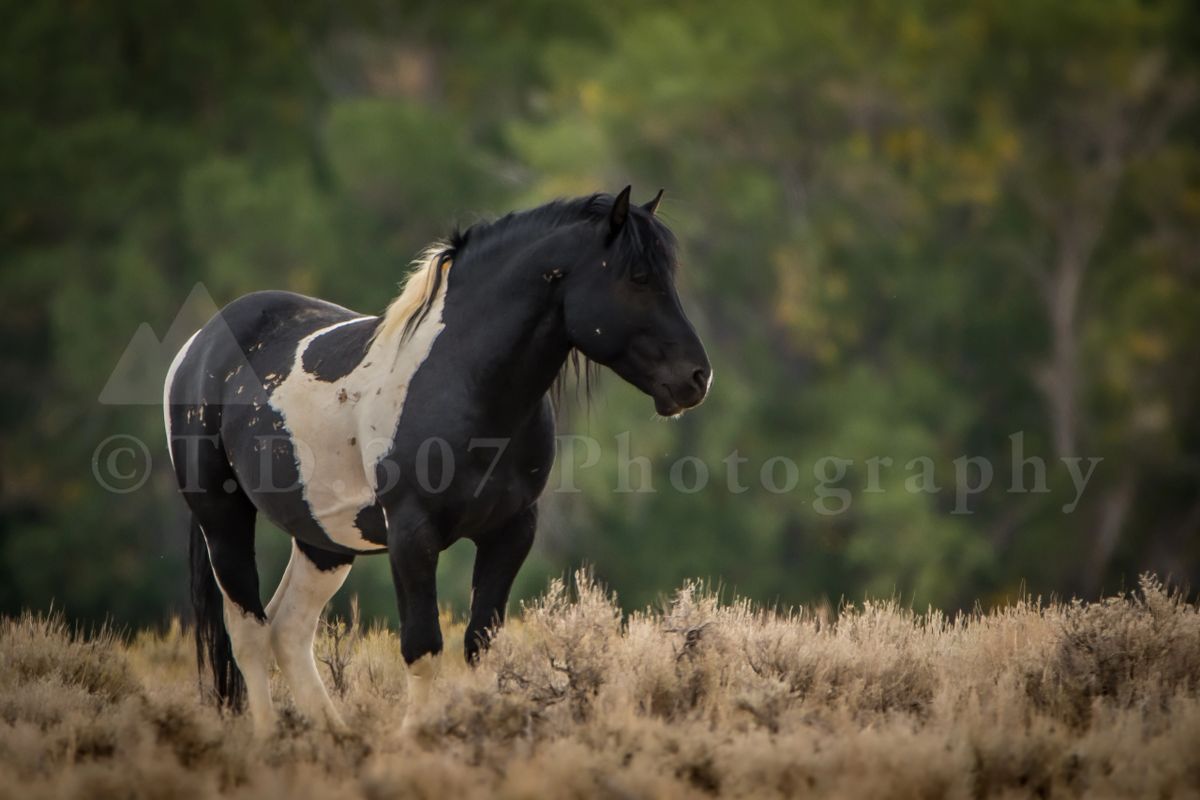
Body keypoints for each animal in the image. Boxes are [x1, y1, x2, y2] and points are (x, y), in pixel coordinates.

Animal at [162, 187, 711, 735]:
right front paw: (418, 738)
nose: (696, 378)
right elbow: (422, 647)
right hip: (223, 521)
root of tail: (201, 344)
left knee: (288, 631)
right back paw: (269, 736)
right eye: (638, 278)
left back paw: (337, 738)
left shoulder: (511, 531)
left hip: (323, 539)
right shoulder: (412, 534)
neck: (460, 384)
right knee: (249, 632)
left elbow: (480, 643)